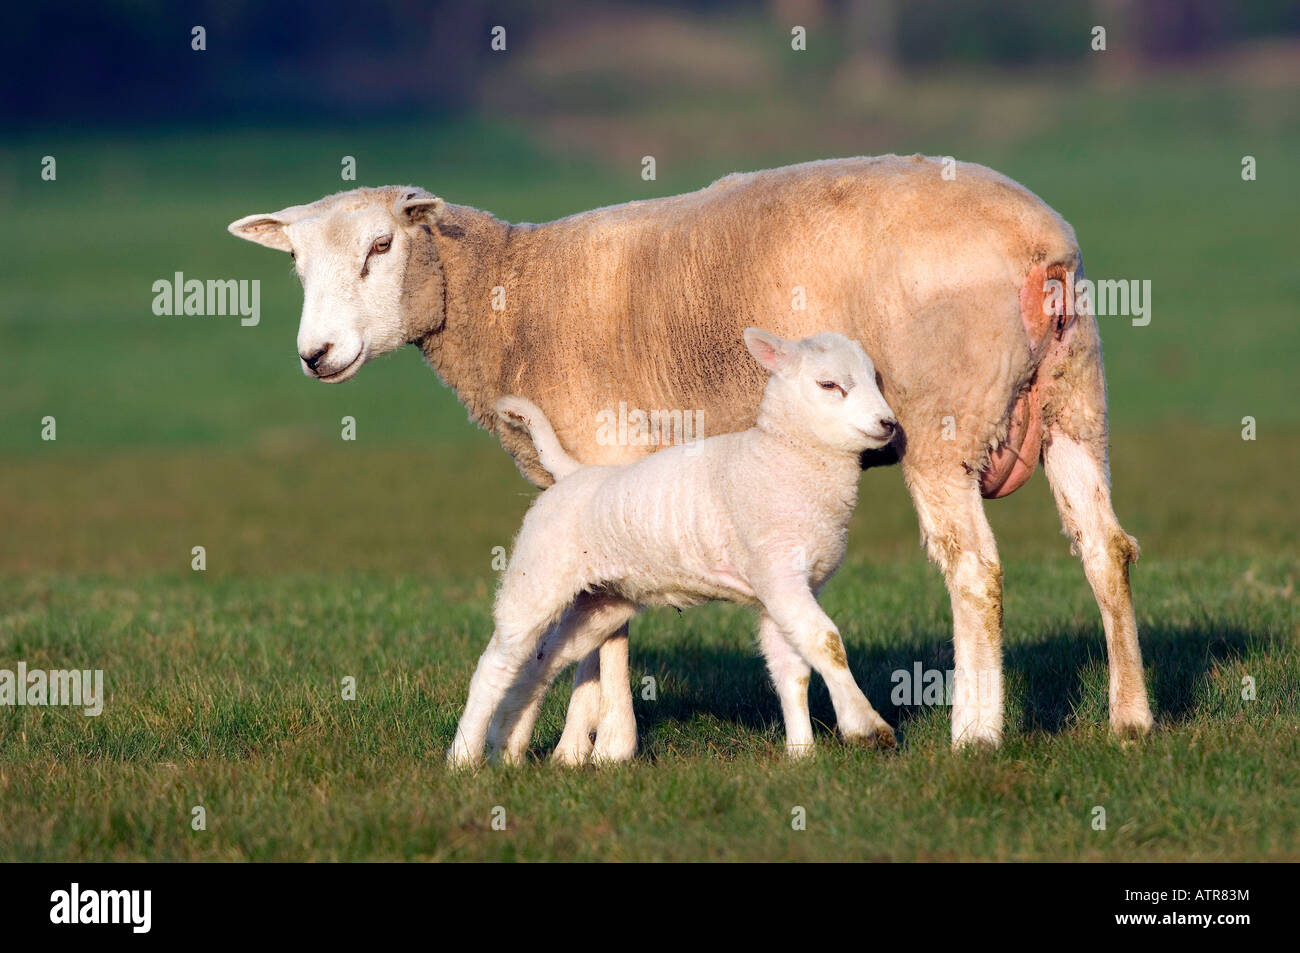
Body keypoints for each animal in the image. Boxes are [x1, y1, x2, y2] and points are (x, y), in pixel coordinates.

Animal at [447, 329, 899, 766]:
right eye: (828, 384)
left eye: (876, 380)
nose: (889, 424)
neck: (783, 454)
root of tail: (571, 473)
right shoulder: (777, 572)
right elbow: (827, 643)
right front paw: (866, 727)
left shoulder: (788, 586)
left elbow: (793, 669)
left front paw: (801, 753)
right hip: (537, 576)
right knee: (496, 664)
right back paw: (463, 758)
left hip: (601, 604)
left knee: (541, 662)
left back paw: (507, 750)